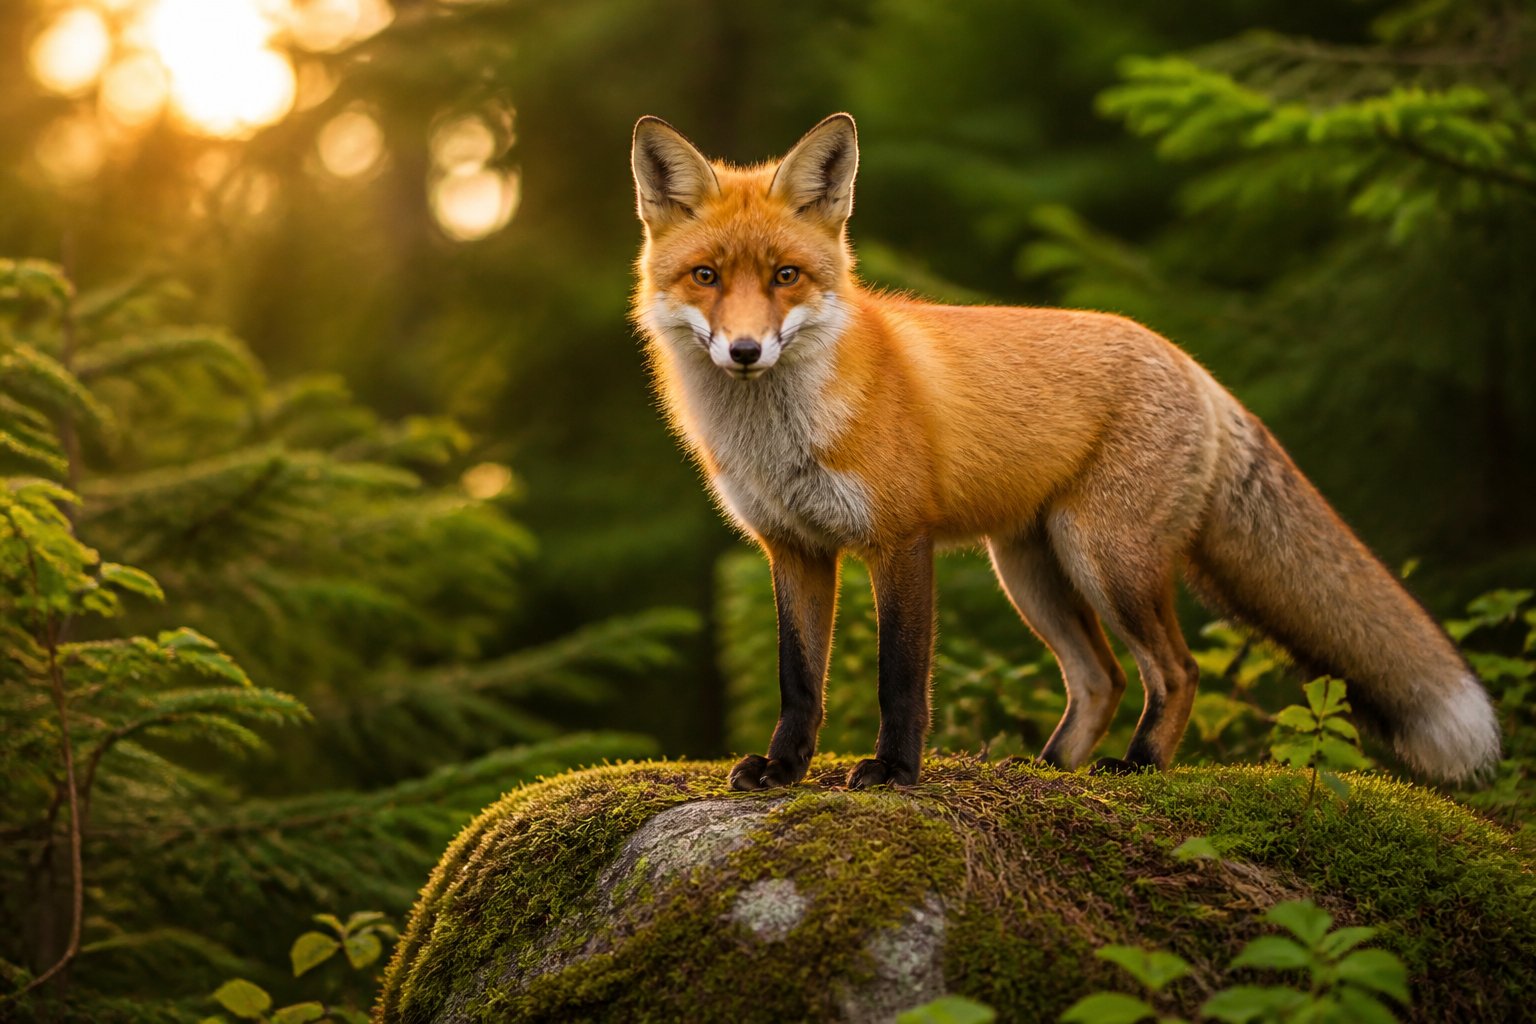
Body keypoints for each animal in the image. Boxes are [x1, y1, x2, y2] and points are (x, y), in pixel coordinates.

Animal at [629, 112, 1500, 791]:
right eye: (706, 276)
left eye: (785, 276)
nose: (745, 351)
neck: (779, 434)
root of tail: (1188, 362)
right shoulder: (795, 549)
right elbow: (799, 682)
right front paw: (783, 770)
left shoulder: (900, 541)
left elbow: (899, 679)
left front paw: (896, 773)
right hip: (1032, 572)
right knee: (1100, 678)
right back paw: (1049, 769)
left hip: (1104, 557)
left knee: (1174, 670)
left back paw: (1140, 766)